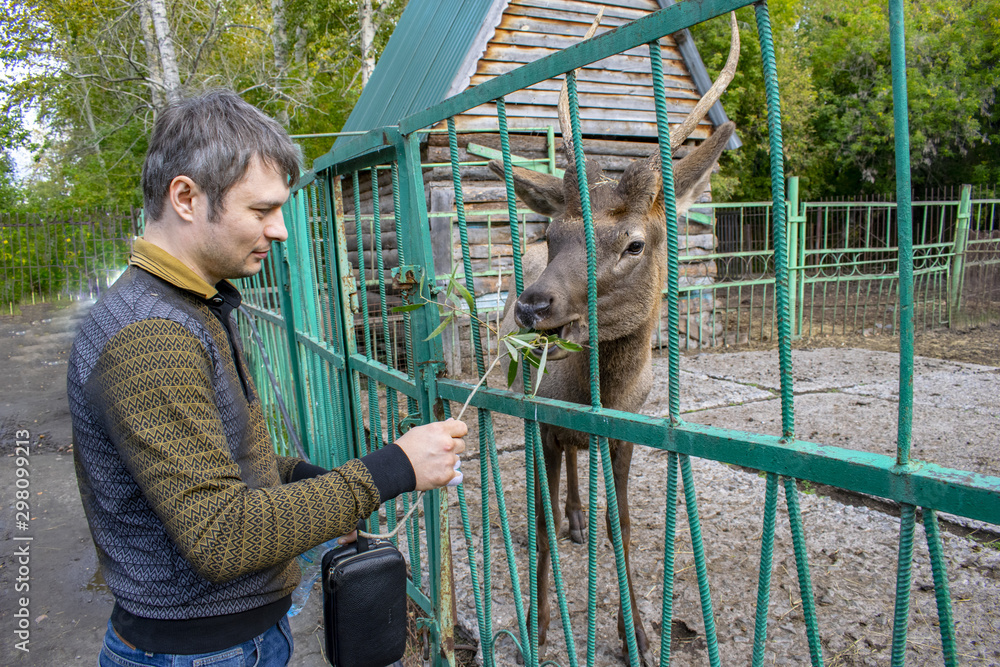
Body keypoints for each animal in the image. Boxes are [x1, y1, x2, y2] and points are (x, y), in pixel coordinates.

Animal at [490, 12, 740, 666]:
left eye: (634, 244)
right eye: (553, 232)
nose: (532, 305)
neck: (588, 395)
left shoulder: (629, 432)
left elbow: (621, 526)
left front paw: (642, 638)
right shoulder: (544, 422)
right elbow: (543, 520)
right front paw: (538, 627)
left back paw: (580, 515)